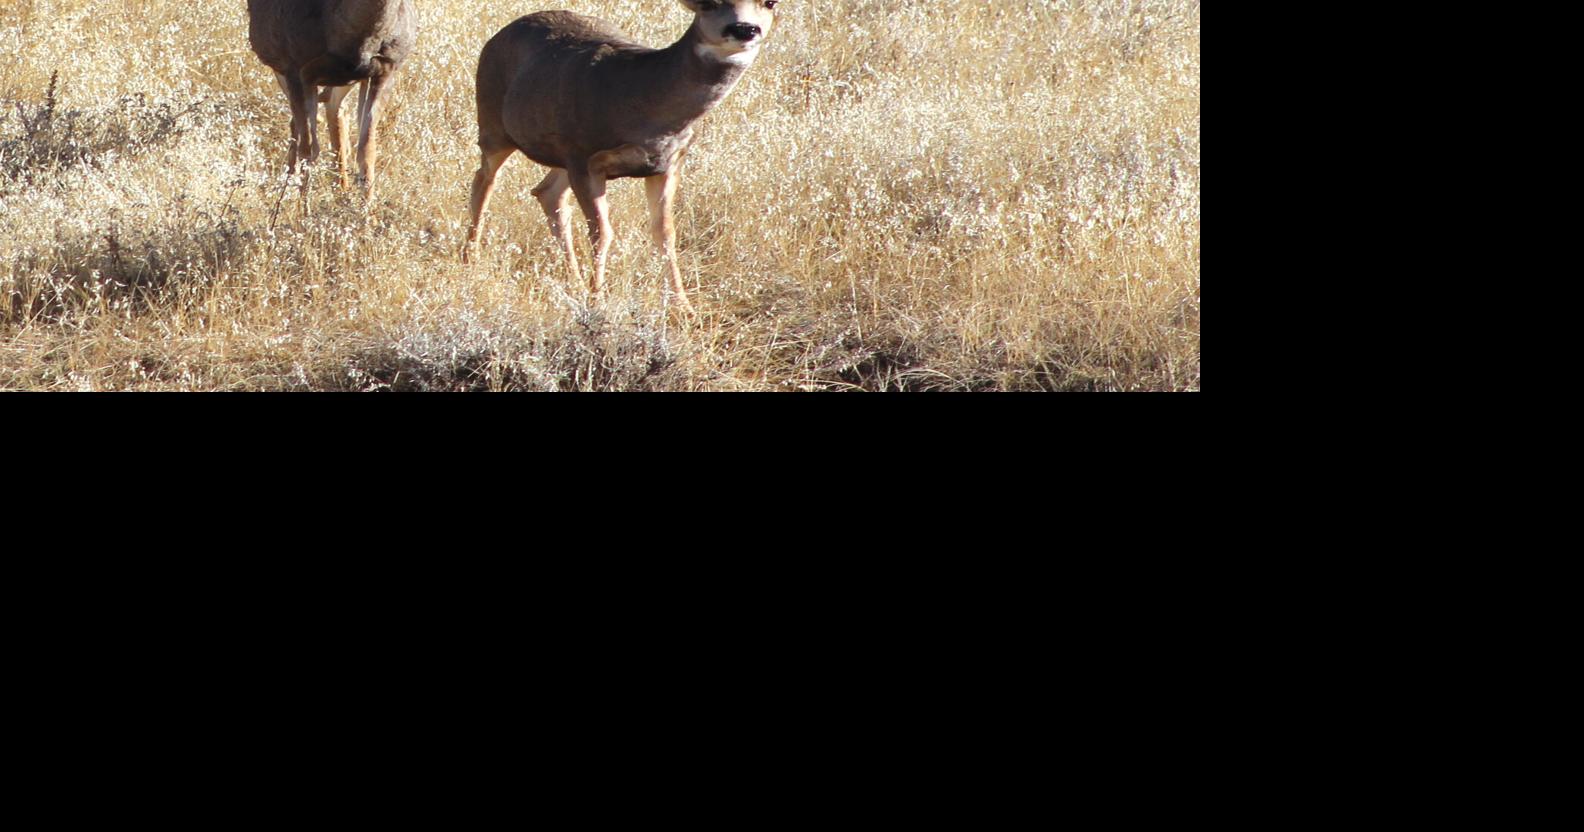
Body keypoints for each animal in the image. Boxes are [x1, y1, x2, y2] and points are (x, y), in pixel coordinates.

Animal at [246, 0, 418, 191]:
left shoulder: (386, 71)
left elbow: (367, 149)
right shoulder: (295, 69)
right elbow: (309, 148)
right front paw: (302, 199)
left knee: (335, 110)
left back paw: (342, 187)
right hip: (282, 68)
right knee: (305, 126)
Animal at [463, 1, 781, 315]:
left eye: (769, 2)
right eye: (708, 4)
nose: (744, 29)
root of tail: (499, 35)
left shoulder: (667, 163)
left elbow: (665, 232)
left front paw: (684, 308)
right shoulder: (584, 155)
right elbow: (602, 232)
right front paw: (598, 300)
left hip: (559, 155)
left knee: (547, 192)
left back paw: (574, 281)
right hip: (494, 123)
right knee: (484, 180)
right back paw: (470, 260)